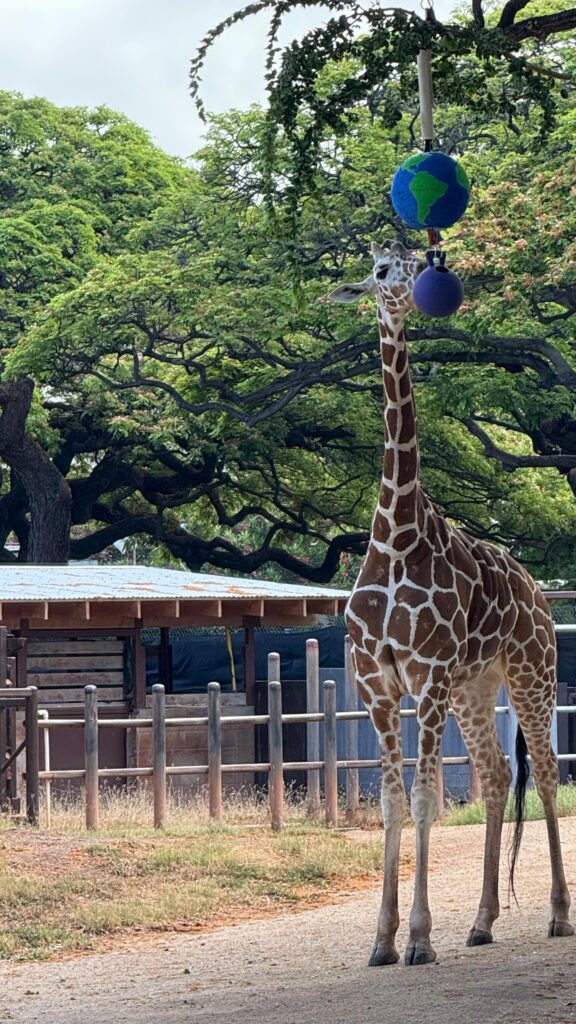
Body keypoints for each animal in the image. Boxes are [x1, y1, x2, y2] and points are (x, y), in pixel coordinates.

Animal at [329, 239, 573, 967]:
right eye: (382, 270)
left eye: (413, 259)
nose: (416, 290)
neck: (395, 533)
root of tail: (538, 590)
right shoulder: (378, 683)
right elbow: (391, 802)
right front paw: (382, 940)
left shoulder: (428, 675)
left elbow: (425, 798)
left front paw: (417, 938)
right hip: (477, 682)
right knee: (495, 774)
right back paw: (482, 922)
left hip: (530, 670)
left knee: (544, 773)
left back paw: (557, 914)